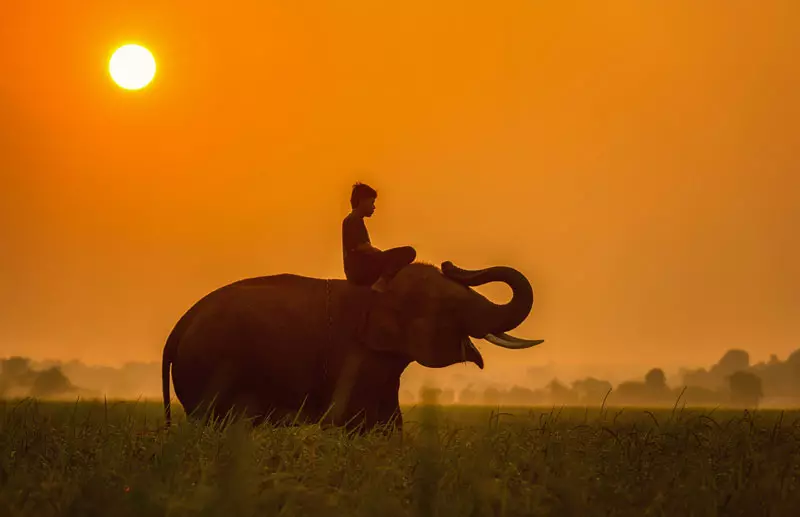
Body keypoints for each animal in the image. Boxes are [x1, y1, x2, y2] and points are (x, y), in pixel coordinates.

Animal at [162, 258, 544, 432]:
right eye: (450, 306)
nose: (450, 263)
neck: (380, 289)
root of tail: (178, 328)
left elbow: (389, 421)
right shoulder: (353, 355)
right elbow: (359, 420)